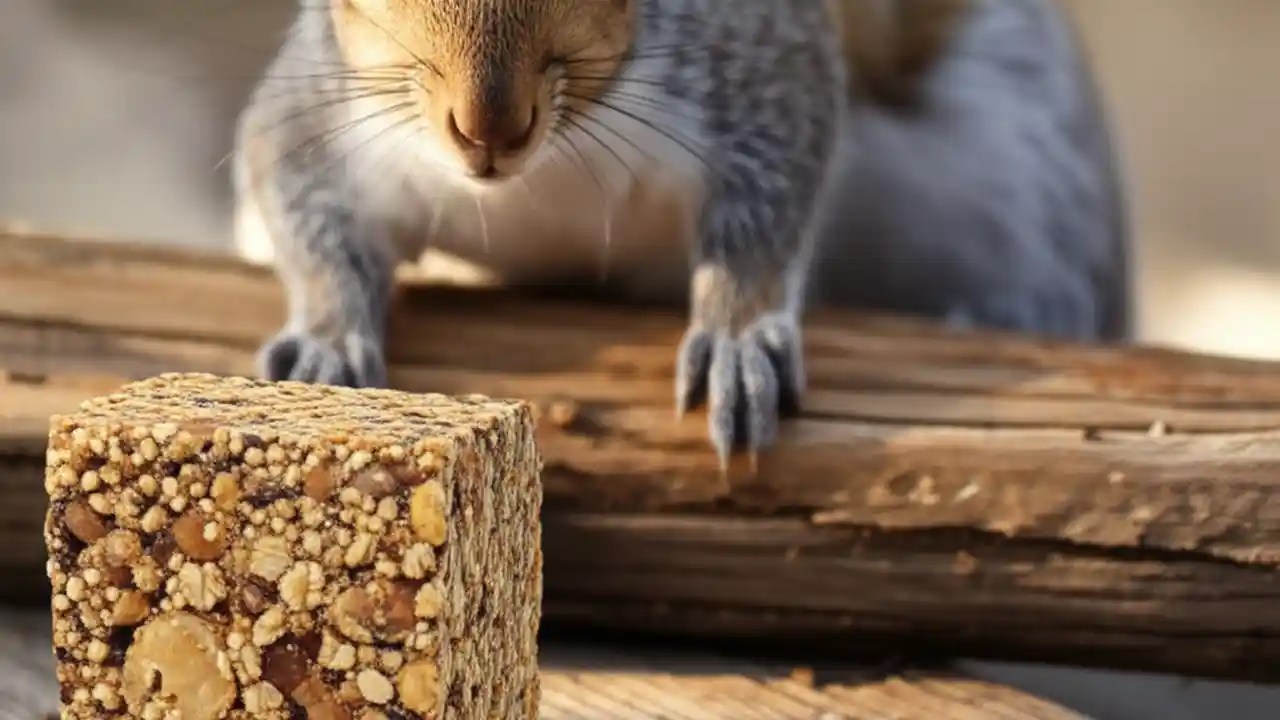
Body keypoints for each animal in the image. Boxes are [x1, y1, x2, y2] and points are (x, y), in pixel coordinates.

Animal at [233, 0, 1129, 466]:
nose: (490, 128)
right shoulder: (318, 114)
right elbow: (295, 195)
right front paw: (327, 343)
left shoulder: (760, 64)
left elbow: (772, 199)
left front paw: (738, 340)